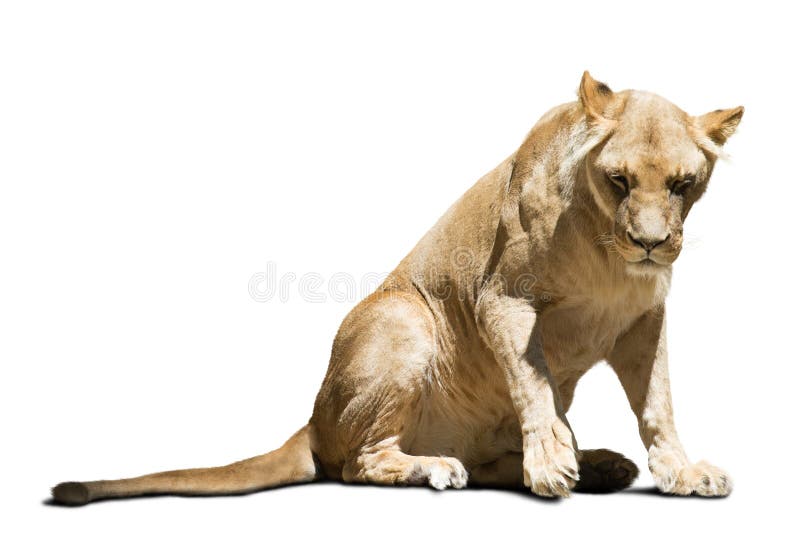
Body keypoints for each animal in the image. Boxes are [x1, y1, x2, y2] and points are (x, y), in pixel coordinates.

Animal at [52, 72, 743, 505]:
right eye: (619, 180)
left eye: (682, 184)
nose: (651, 243)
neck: (609, 259)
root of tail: (313, 422)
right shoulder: (504, 300)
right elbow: (535, 385)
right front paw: (551, 462)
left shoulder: (644, 321)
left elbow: (658, 404)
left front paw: (681, 471)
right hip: (406, 322)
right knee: (361, 462)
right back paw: (441, 467)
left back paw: (600, 463)